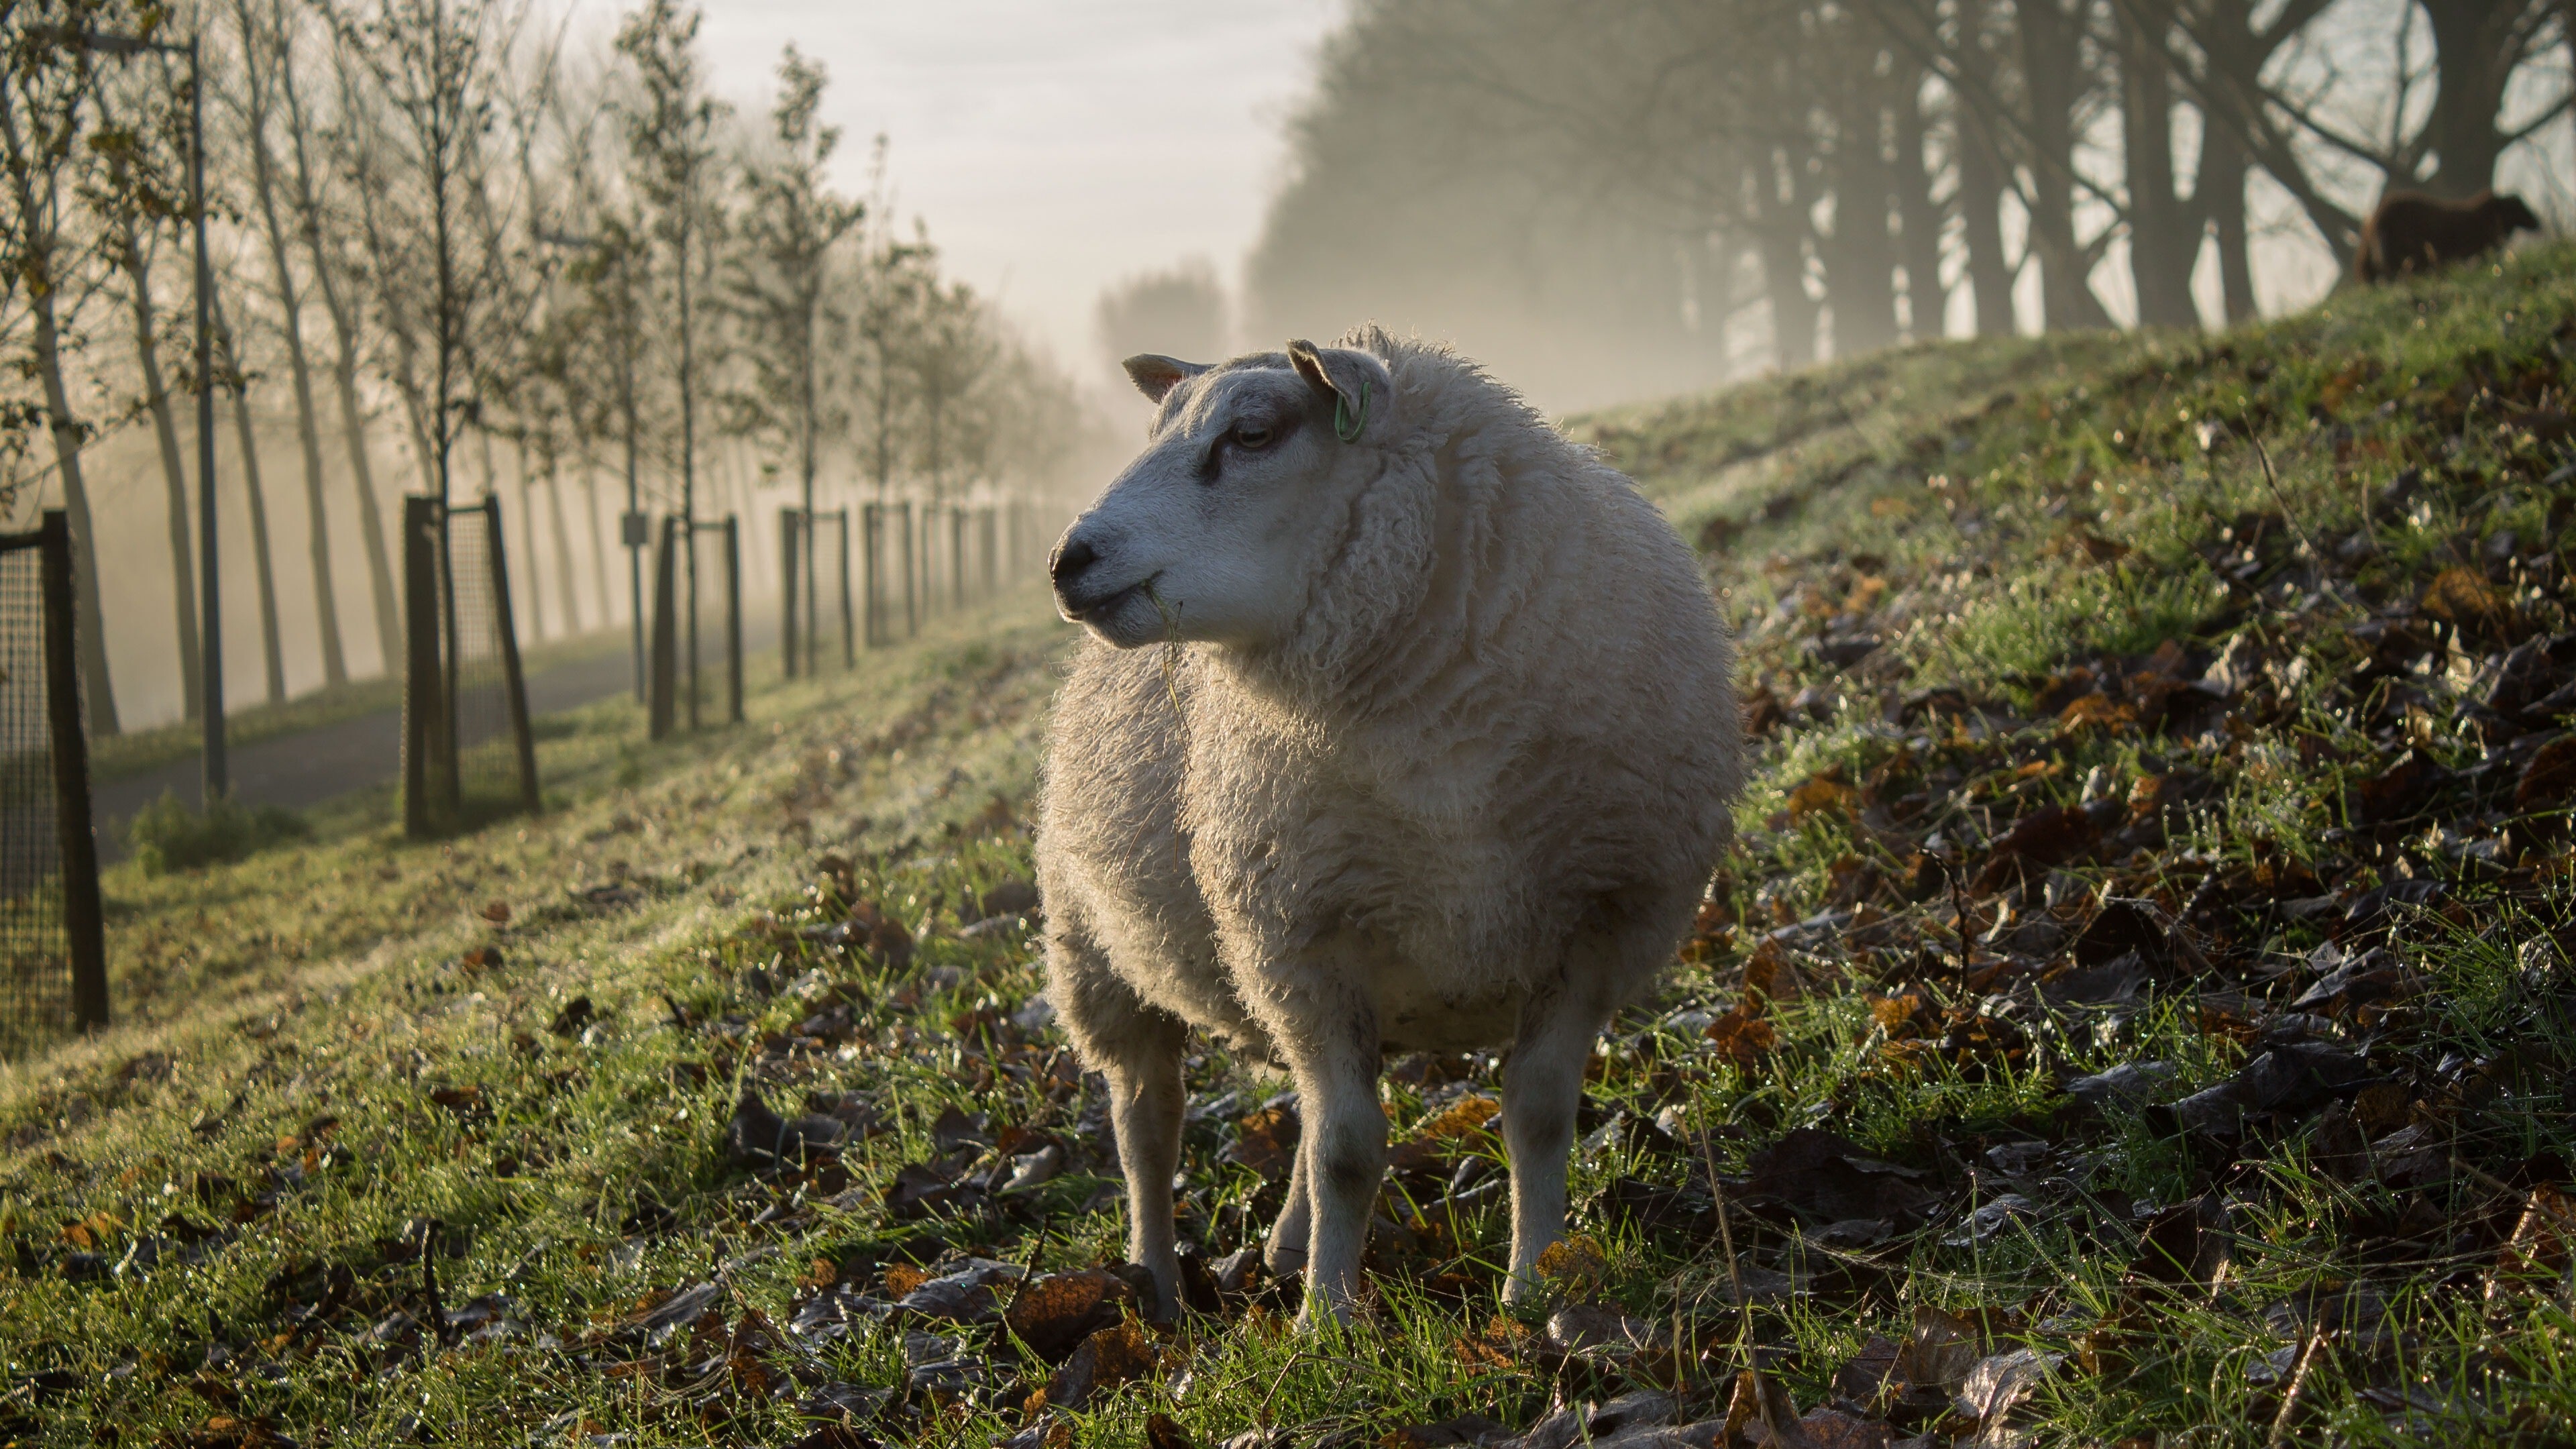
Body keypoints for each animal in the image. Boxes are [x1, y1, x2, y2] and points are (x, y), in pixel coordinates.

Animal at [1034, 326, 1742, 1324]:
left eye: (1252, 435)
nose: (1069, 560)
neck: (1443, 769)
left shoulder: (1597, 928)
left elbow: (1535, 1113)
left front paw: (1535, 1287)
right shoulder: (1300, 942)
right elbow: (1347, 1150)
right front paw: (1327, 1323)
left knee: (1287, 1108)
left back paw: (1285, 1248)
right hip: (1097, 954)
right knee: (1147, 1121)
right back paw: (1159, 1284)